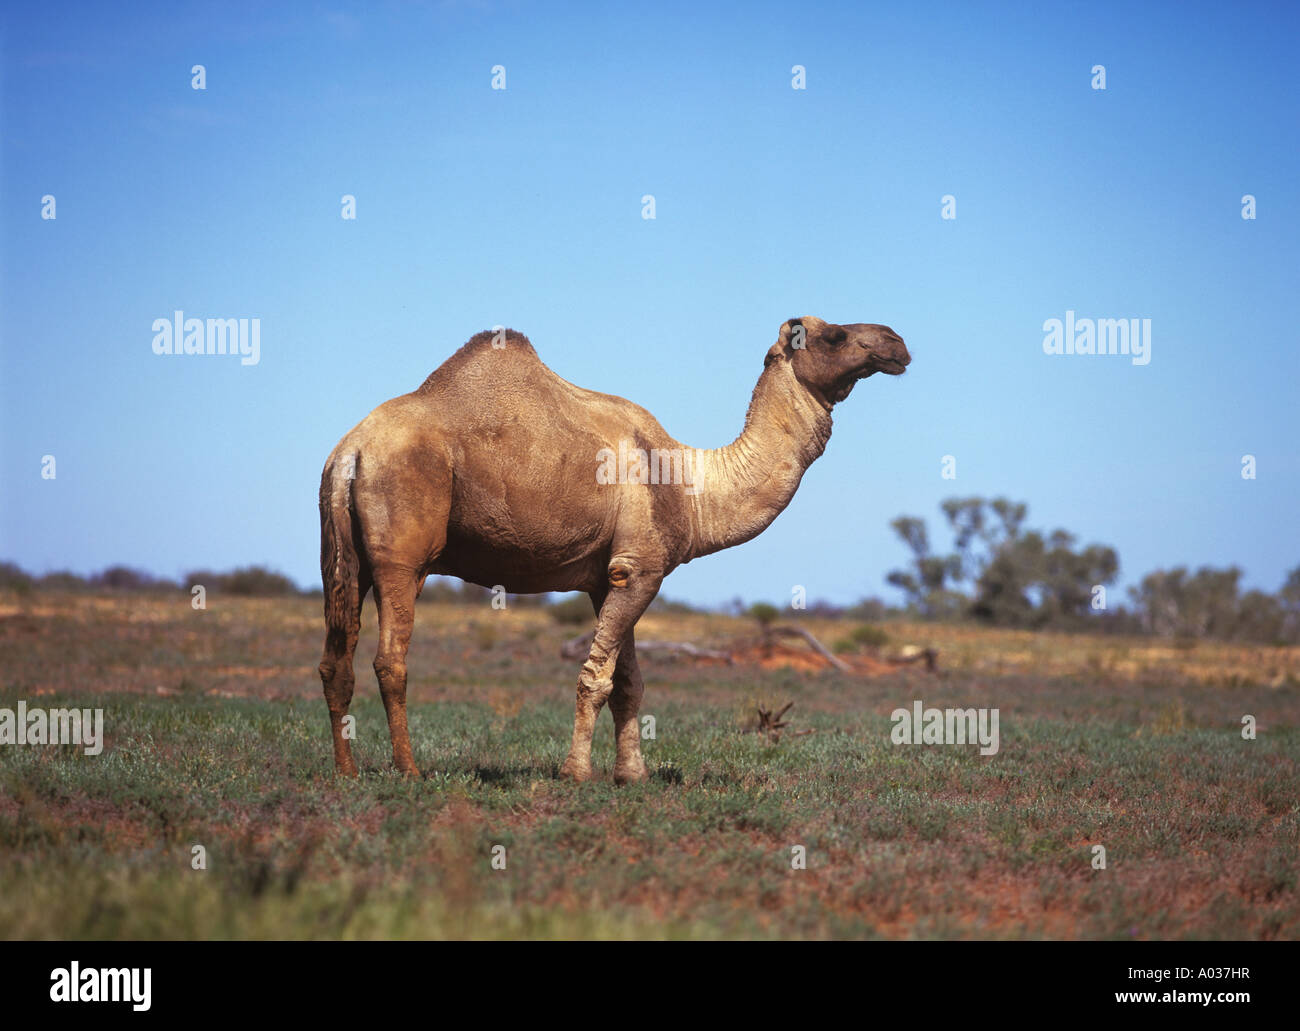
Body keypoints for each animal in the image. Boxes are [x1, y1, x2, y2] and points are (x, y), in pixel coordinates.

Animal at [317, 317, 910, 783]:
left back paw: (346, 771)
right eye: (834, 335)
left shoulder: (607, 578)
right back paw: (408, 770)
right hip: (402, 556)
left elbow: (630, 682)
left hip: (344, 555)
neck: (689, 487)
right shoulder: (640, 568)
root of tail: (351, 450)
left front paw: (632, 775)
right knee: (390, 658)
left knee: (334, 658)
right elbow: (597, 677)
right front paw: (576, 773)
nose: (898, 342)